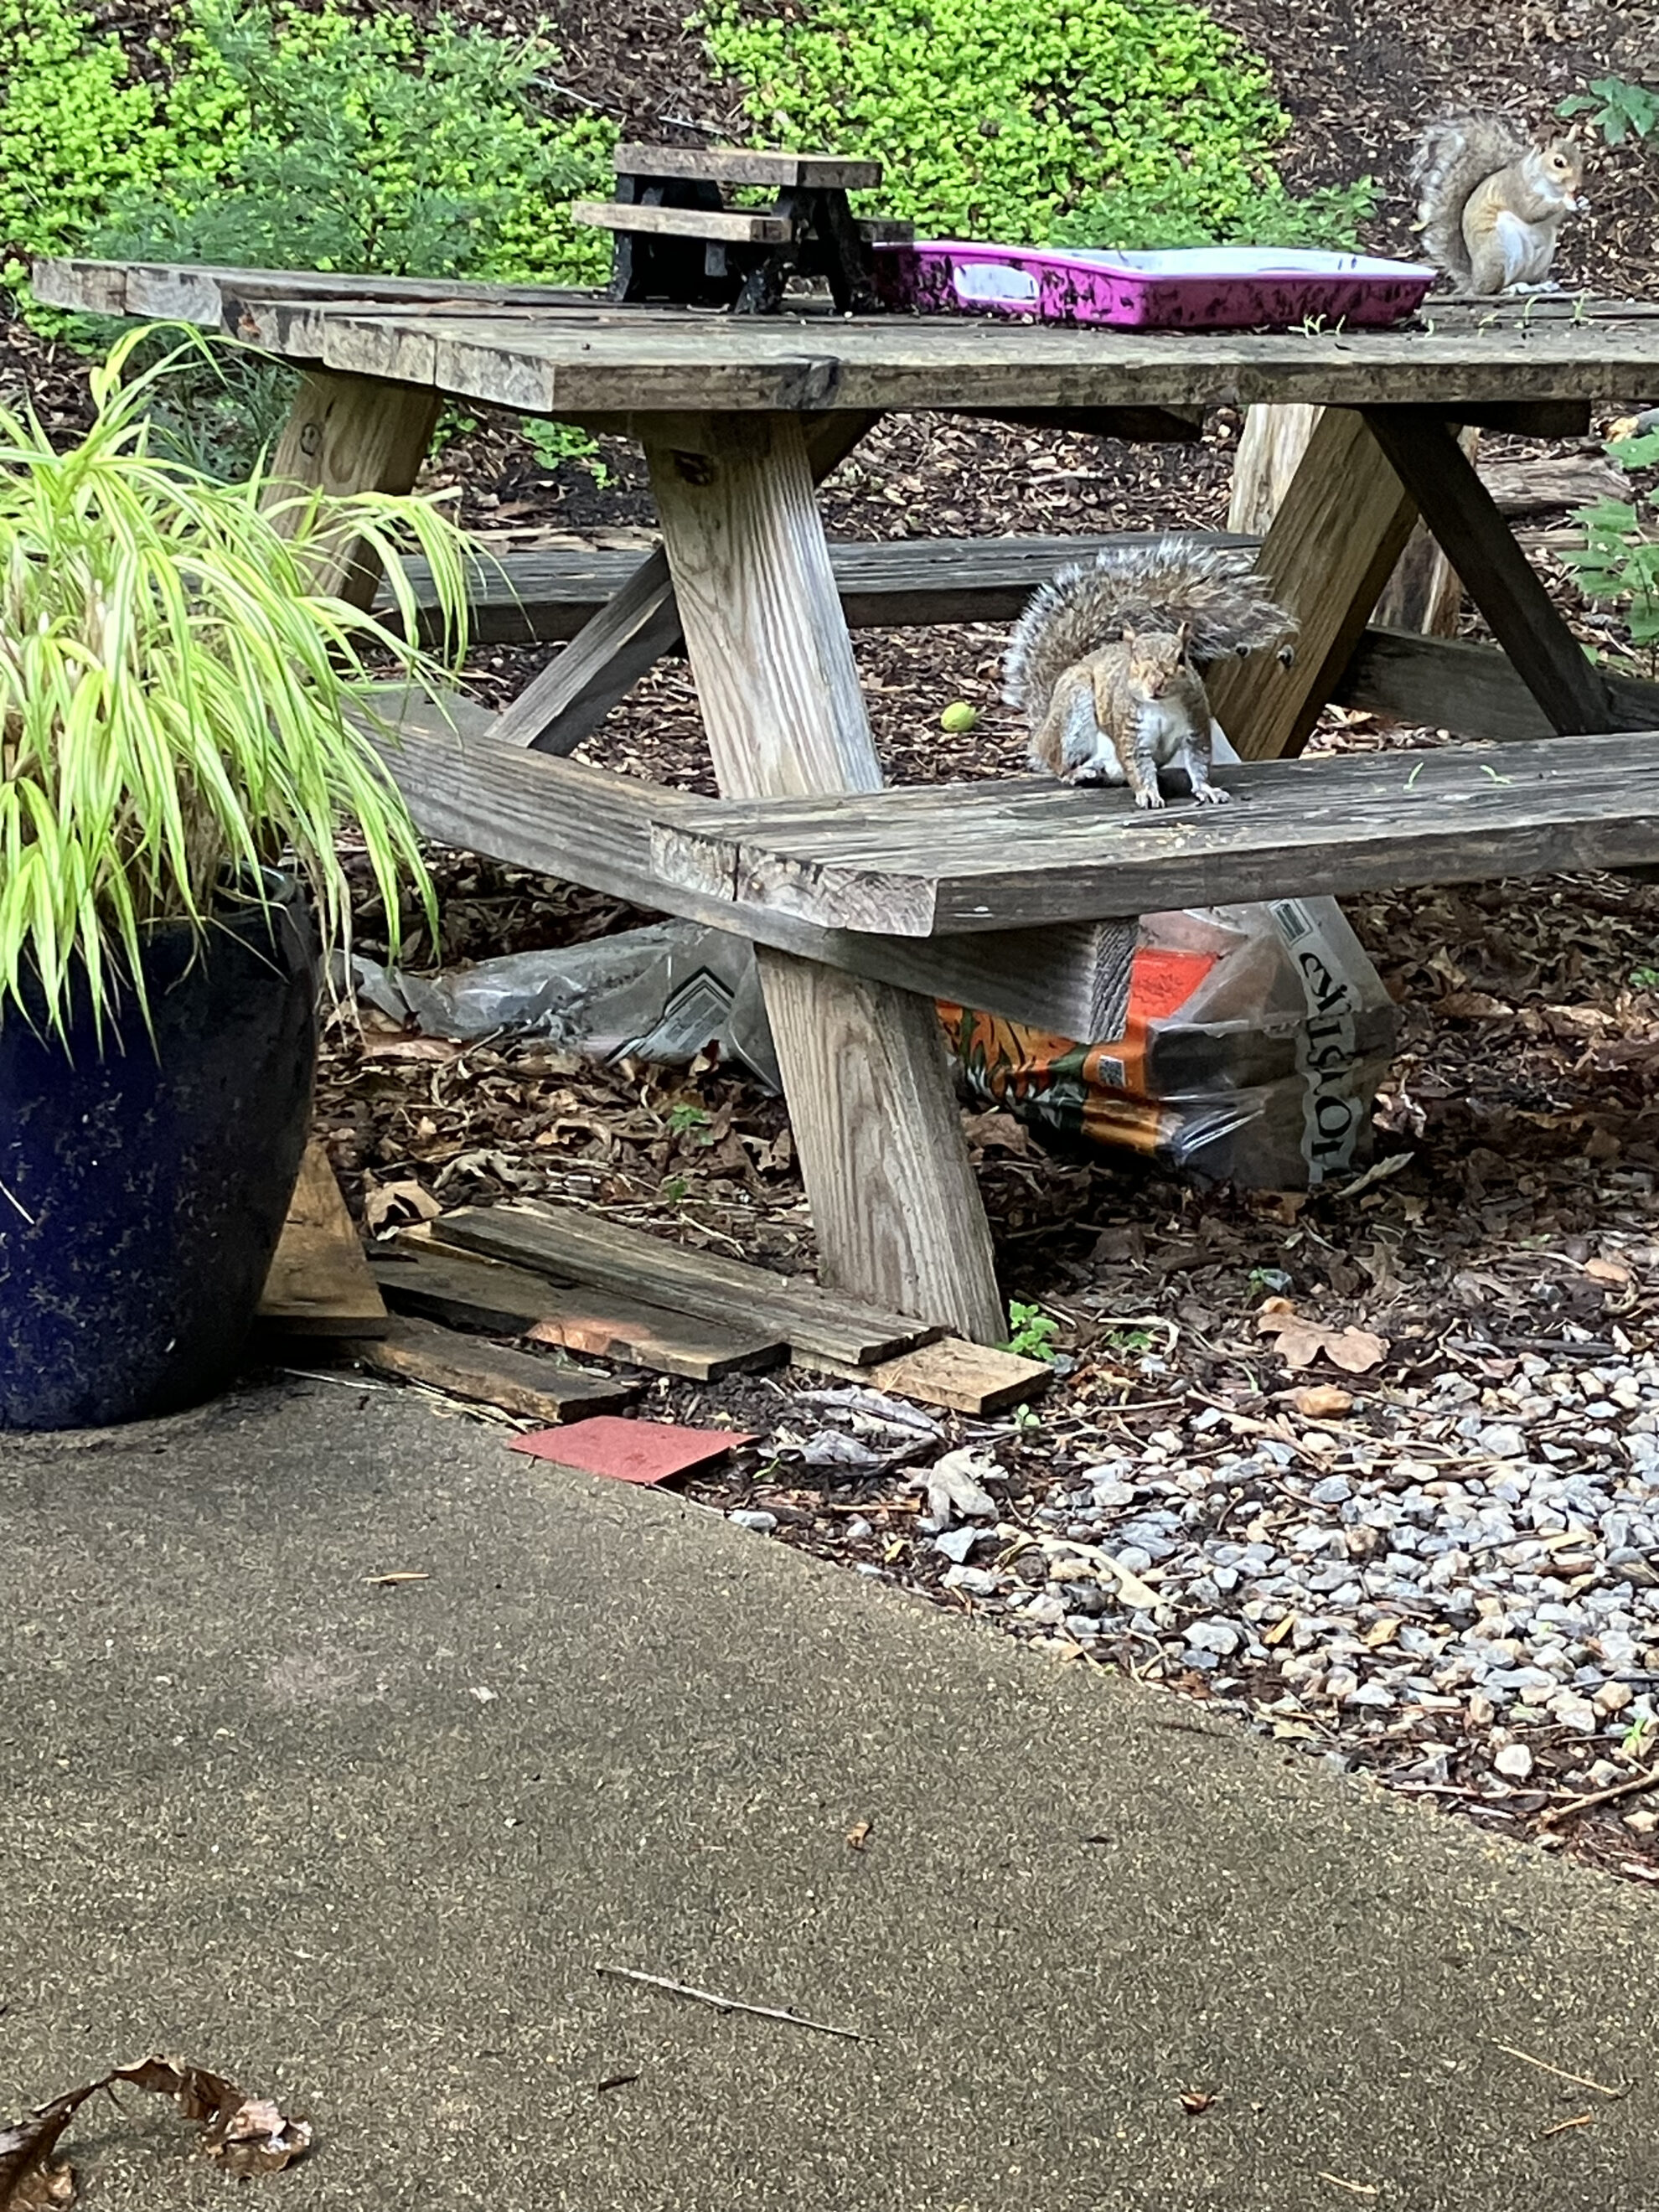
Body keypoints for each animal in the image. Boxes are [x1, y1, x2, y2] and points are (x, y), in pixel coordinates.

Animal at [1003, 537, 1295, 810]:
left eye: (1182, 658)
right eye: (1134, 661)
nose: (1156, 685)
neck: (1163, 707)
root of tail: (1042, 732)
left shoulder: (1195, 725)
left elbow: (1198, 762)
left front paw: (1206, 789)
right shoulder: (1131, 732)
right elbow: (1137, 764)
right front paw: (1148, 793)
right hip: (1075, 711)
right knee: (1060, 764)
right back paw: (1079, 772)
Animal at [1410, 113, 1588, 295]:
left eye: (1581, 158)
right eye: (1558, 162)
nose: (1578, 186)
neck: (1551, 188)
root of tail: (1475, 283)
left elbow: (1555, 219)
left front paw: (1581, 202)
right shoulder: (1516, 191)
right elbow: (1531, 212)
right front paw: (1565, 202)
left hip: (1541, 260)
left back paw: (1540, 286)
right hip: (1498, 253)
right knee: (1497, 289)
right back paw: (1513, 288)